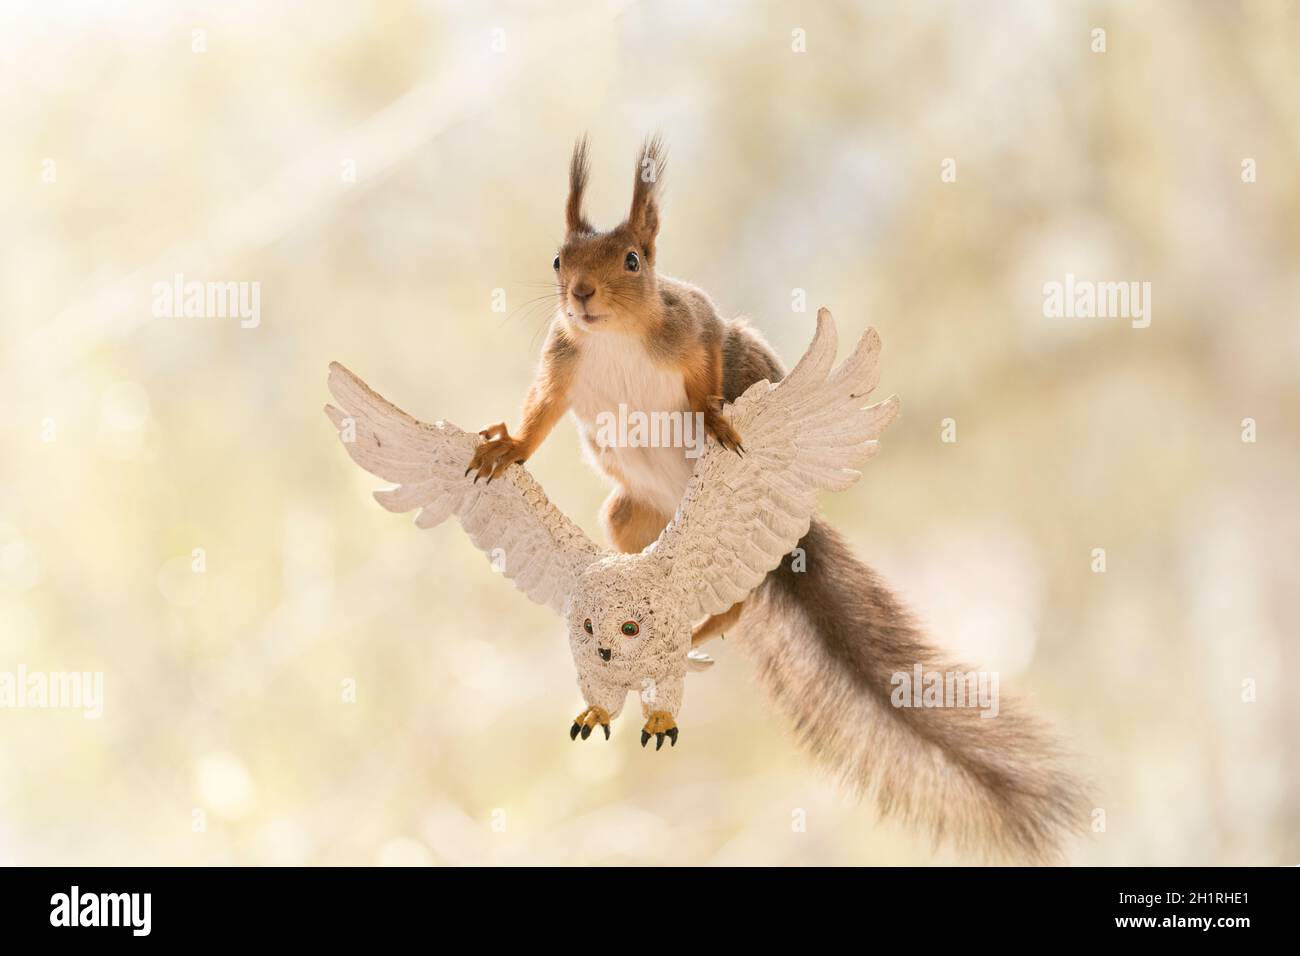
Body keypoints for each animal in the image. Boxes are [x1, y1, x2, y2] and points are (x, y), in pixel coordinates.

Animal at [466, 136, 1088, 861]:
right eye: (558, 260)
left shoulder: (696, 328)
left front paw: (715, 420)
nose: (581, 295)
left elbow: (710, 371)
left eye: (634, 259)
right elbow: (539, 416)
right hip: (630, 515)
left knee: (738, 595)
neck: (614, 336)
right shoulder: (563, 359)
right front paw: (506, 447)